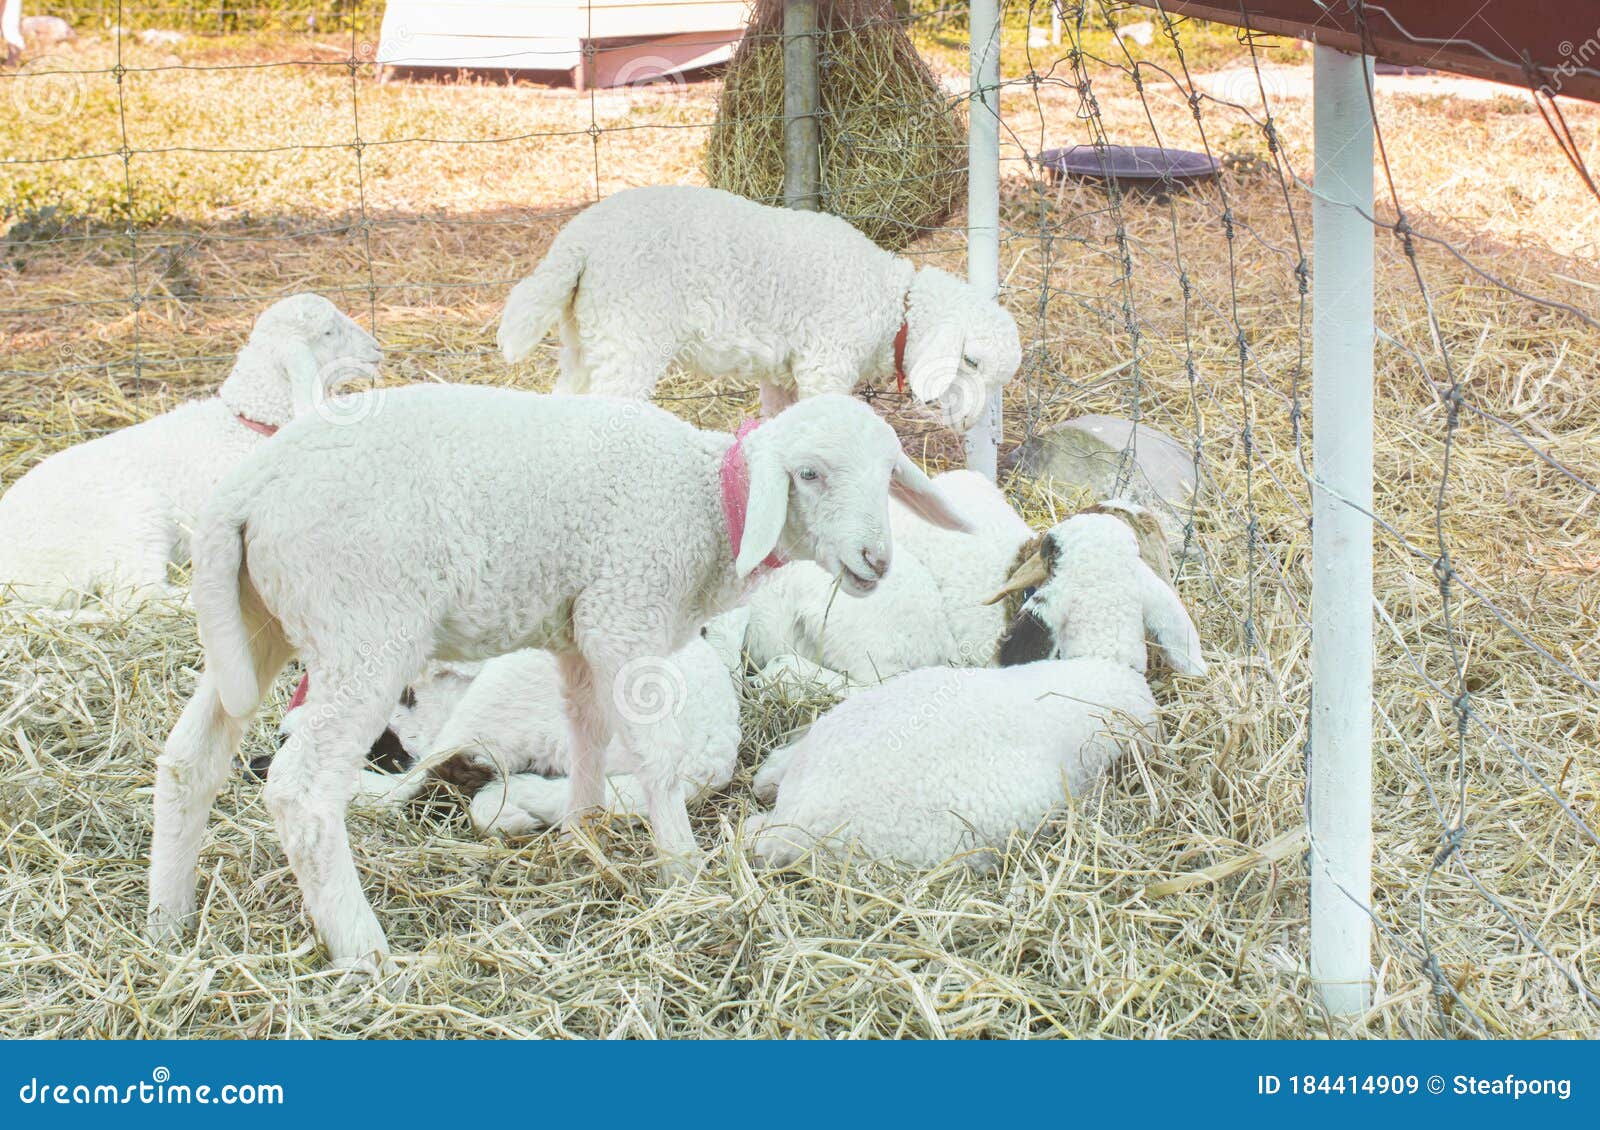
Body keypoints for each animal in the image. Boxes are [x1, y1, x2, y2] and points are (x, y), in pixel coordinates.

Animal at [0, 294, 380, 606]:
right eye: (329, 332)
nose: (377, 350)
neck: (250, 425)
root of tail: (12, 577)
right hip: (134, 521)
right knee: (138, 596)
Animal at [147, 389, 971, 971]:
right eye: (809, 474)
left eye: (890, 475)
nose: (875, 561)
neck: (707, 504)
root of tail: (244, 491)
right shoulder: (625, 615)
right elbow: (656, 759)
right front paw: (684, 873)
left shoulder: (579, 631)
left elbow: (586, 730)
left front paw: (584, 828)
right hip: (364, 629)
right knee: (301, 789)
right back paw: (365, 950)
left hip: (258, 623)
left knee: (189, 760)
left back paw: (168, 919)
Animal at [496, 185, 1021, 431]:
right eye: (970, 361)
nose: (970, 422)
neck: (892, 304)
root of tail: (578, 242)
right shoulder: (825, 362)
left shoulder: (781, 373)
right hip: (630, 334)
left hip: (584, 336)